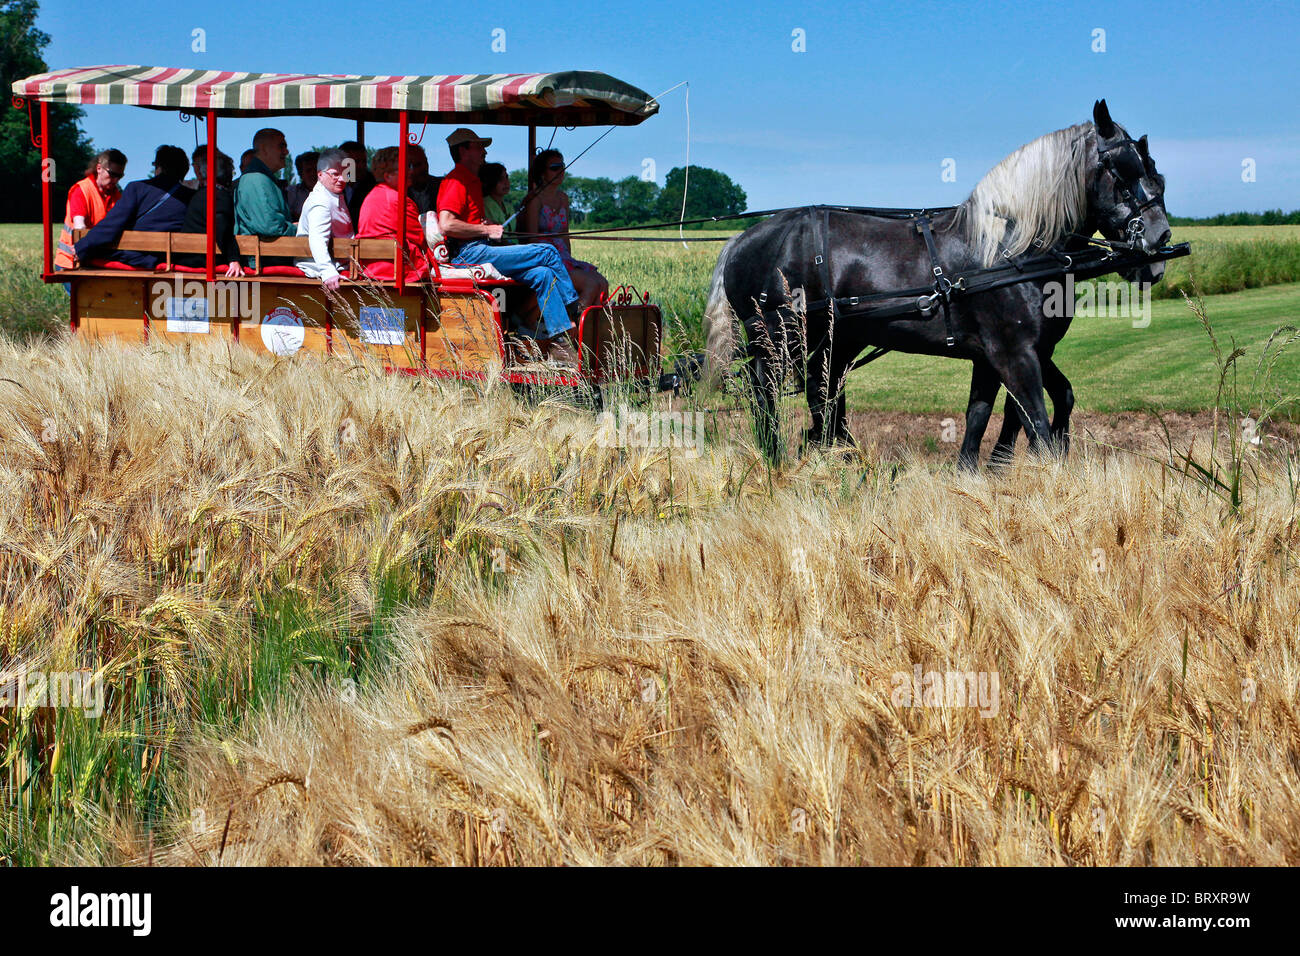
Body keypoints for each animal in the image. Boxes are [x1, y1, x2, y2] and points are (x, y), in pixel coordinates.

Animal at [703, 100, 1172, 466]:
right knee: (766, 393)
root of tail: (744, 238)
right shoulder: (1013, 351)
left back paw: (844, 457)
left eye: (1157, 173)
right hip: (780, 338)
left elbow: (999, 411)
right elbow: (1033, 418)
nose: (1160, 239)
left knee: (823, 394)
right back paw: (776, 459)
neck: (1007, 250)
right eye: (1125, 167)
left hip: (836, 340)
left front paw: (981, 471)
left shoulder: (1012, 352)